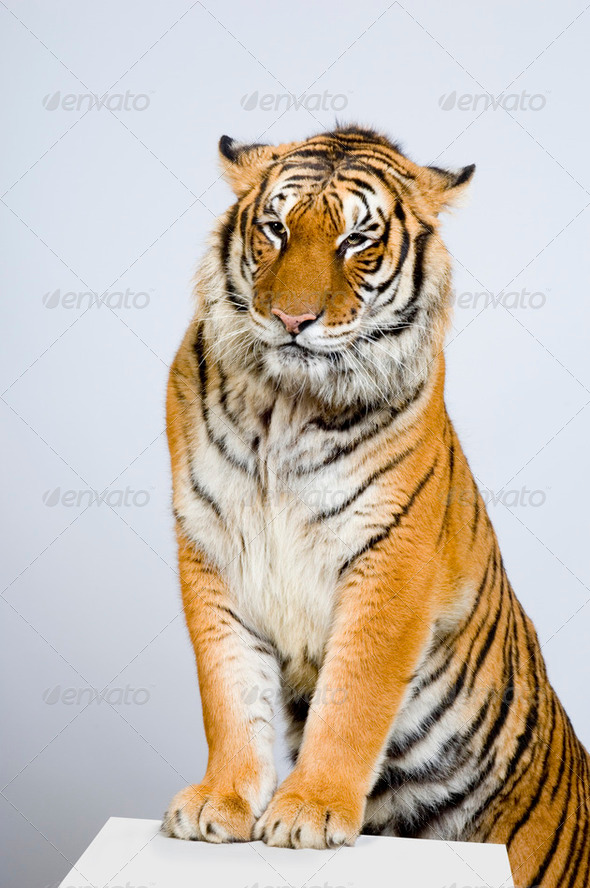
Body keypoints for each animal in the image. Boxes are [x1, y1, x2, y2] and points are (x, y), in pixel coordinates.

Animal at [161, 125, 590, 887]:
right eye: (276, 228)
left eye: (356, 240)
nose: (291, 319)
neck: (285, 405)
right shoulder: (210, 548)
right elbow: (229, 690)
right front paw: (220, 801)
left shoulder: (389, 561)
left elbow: (352, 697)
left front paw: (308, 810)